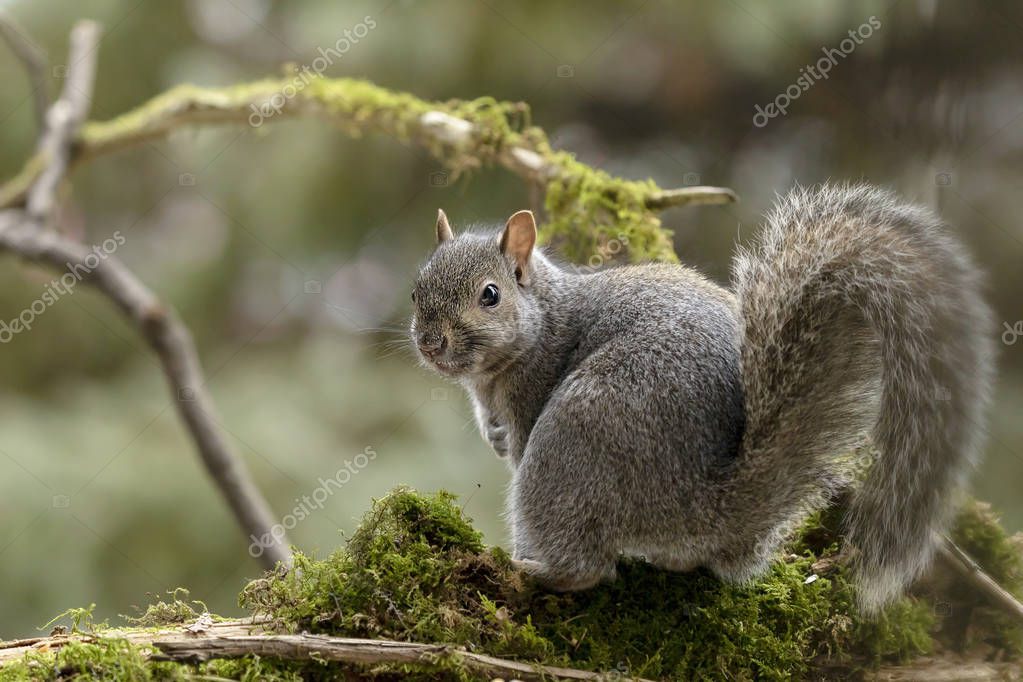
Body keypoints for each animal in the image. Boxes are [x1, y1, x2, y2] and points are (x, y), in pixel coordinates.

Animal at [409, 184, 993, 612]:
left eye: (490, 295)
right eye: (417, 290)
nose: (430, 343)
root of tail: (707, 506)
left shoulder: (533, 393)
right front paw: (493, 435)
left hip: (573, 438)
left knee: (590, 568)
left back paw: (535, 569)